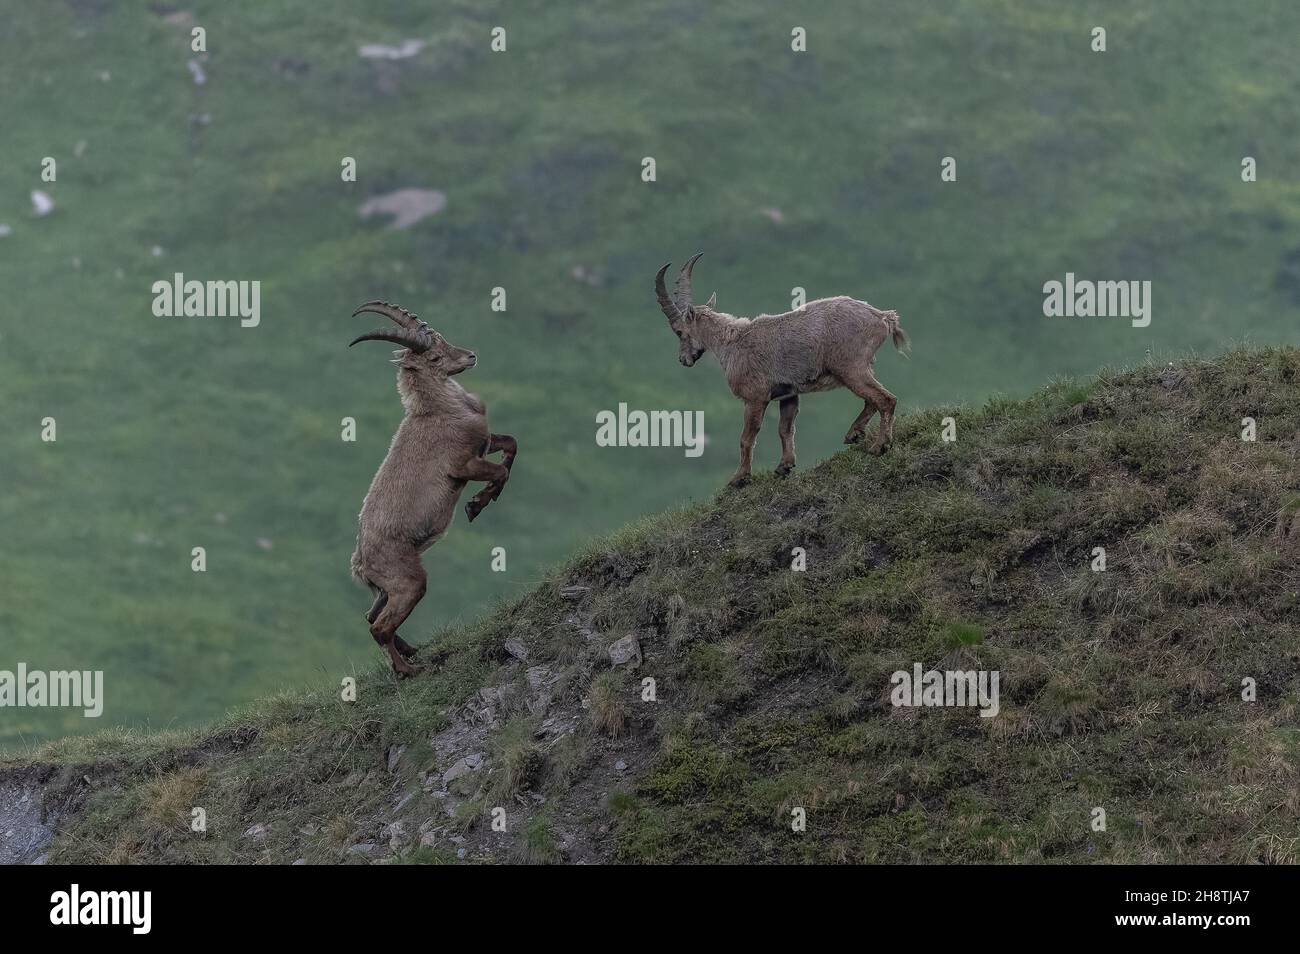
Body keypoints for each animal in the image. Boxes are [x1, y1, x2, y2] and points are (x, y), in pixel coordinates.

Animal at [347, 301, 516, 676]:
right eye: (435, 357)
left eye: (442, 338)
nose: (470, 356)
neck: (441, 408)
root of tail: (360, 564)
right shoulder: (463, 465)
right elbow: (499, 471)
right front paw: (477, 504)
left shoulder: (483, 444)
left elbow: (511, 445)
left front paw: (482, 501)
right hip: (408, 582)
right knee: (380, 627)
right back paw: (406, 670)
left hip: (385, 590)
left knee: (370, 617)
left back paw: (410, 651)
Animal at [655, 254, 908, 487]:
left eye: (679, 331)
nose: (683, 359)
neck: (732, 342)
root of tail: (882, 317)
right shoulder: (788, 394)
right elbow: (785, 429)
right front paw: (784, 467)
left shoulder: (755, 397)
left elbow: (747, 437)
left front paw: (739, 478)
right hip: (860, 368)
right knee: (872, 399)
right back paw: (854, 434)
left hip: (850, 368)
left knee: (885, 399)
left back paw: (879, 446)